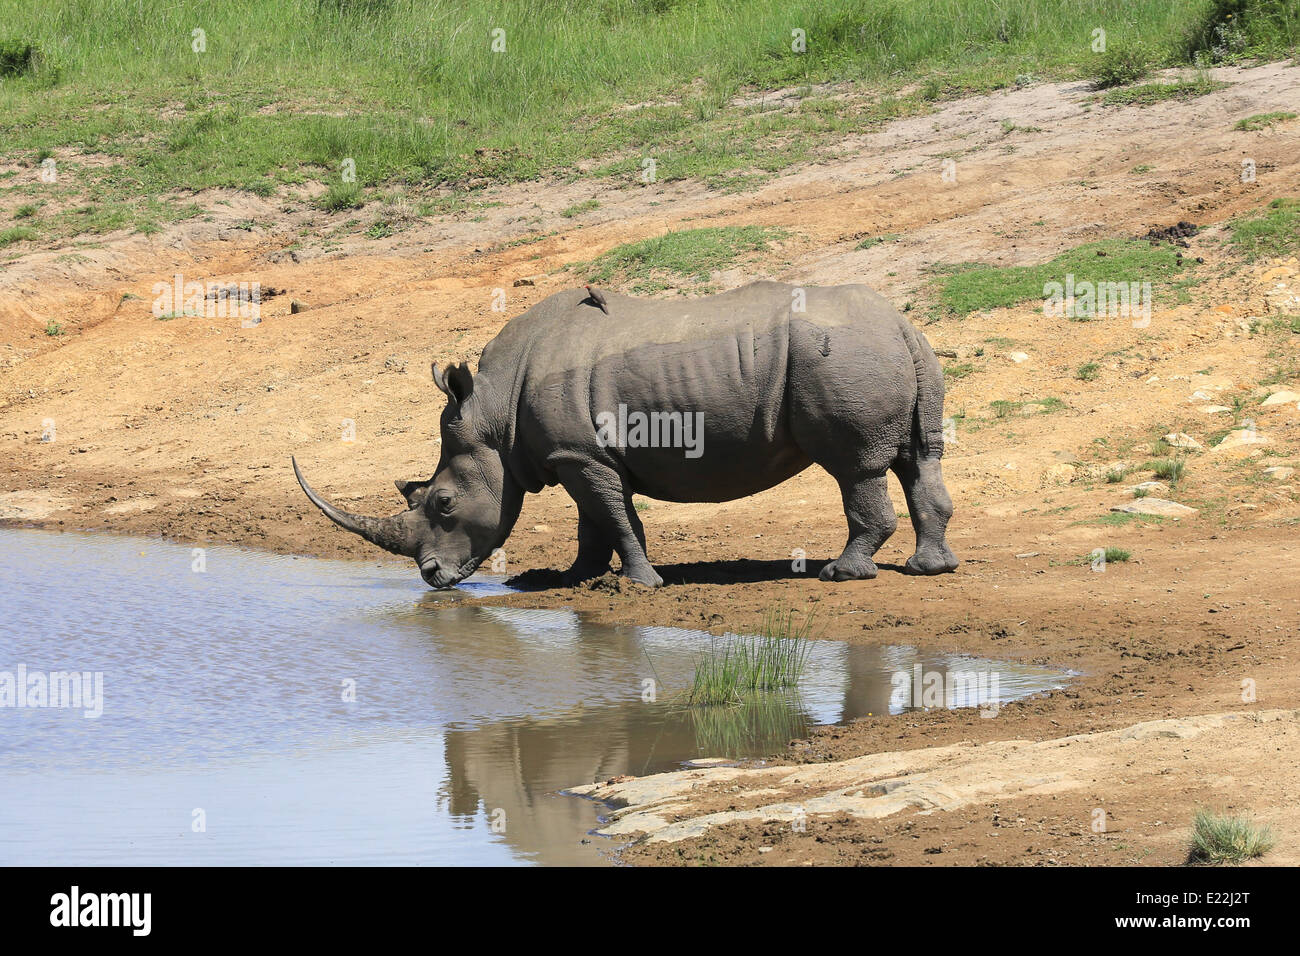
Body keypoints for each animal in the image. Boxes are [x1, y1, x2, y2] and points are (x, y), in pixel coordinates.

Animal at [293, 281, 958, 588]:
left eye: (443, 503)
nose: (431, 577)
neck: (494, 411)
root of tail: (903, 322)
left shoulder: (580, 454)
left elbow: (613, 516)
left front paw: (640, 583)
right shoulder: (576, 452)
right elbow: (595, 519)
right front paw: (576, 579)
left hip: (842, 356)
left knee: (855, 466)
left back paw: (840, 575)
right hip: (888, 352)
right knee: (918, 458)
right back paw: (929, 569)